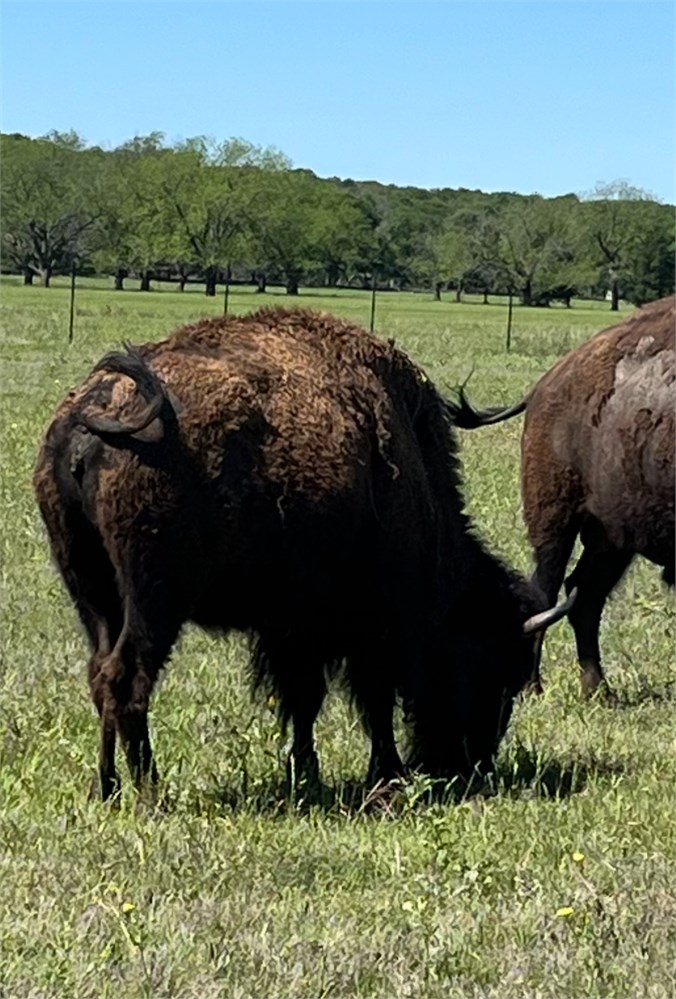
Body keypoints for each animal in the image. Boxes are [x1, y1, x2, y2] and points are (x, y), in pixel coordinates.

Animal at [34, 306, 571, 801]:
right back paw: (151, 793)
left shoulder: (293, 625)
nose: (471, 762)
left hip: (94, 593)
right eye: (490, 665)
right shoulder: (362, 624)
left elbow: (304, 699)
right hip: (156, 598)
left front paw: (307, 773)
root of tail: (93, 418)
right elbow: (367, 697)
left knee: (101, 673)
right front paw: (387, 776)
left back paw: (108, 788)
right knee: (128, 679)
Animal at [453, 295, 675, 698]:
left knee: (584, 596)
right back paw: (534, 686)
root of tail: (546, 383)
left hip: (612, 537)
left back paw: (598, 690)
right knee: (548, 591)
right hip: (555, 521)